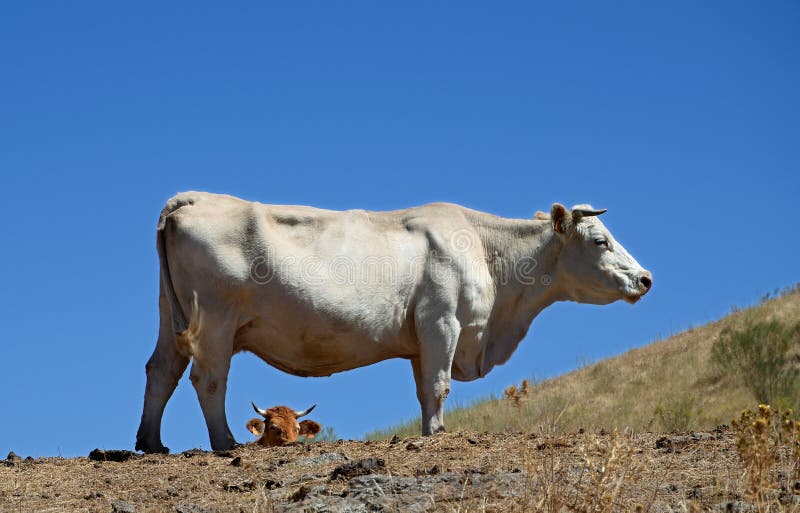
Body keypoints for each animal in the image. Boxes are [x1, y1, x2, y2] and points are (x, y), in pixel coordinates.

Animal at [135, 191, 652, 453]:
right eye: (601, 240)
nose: (645, 278)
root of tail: (193, 199)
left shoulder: (422, 338)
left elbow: (425, 388)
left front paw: (429, 430)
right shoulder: (443, 321)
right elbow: (440, 385)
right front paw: (438, 435)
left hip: (171, 316)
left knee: (161, 371)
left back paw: (152, 444)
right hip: (215, 321)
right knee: (209, 379)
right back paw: (224, 443)